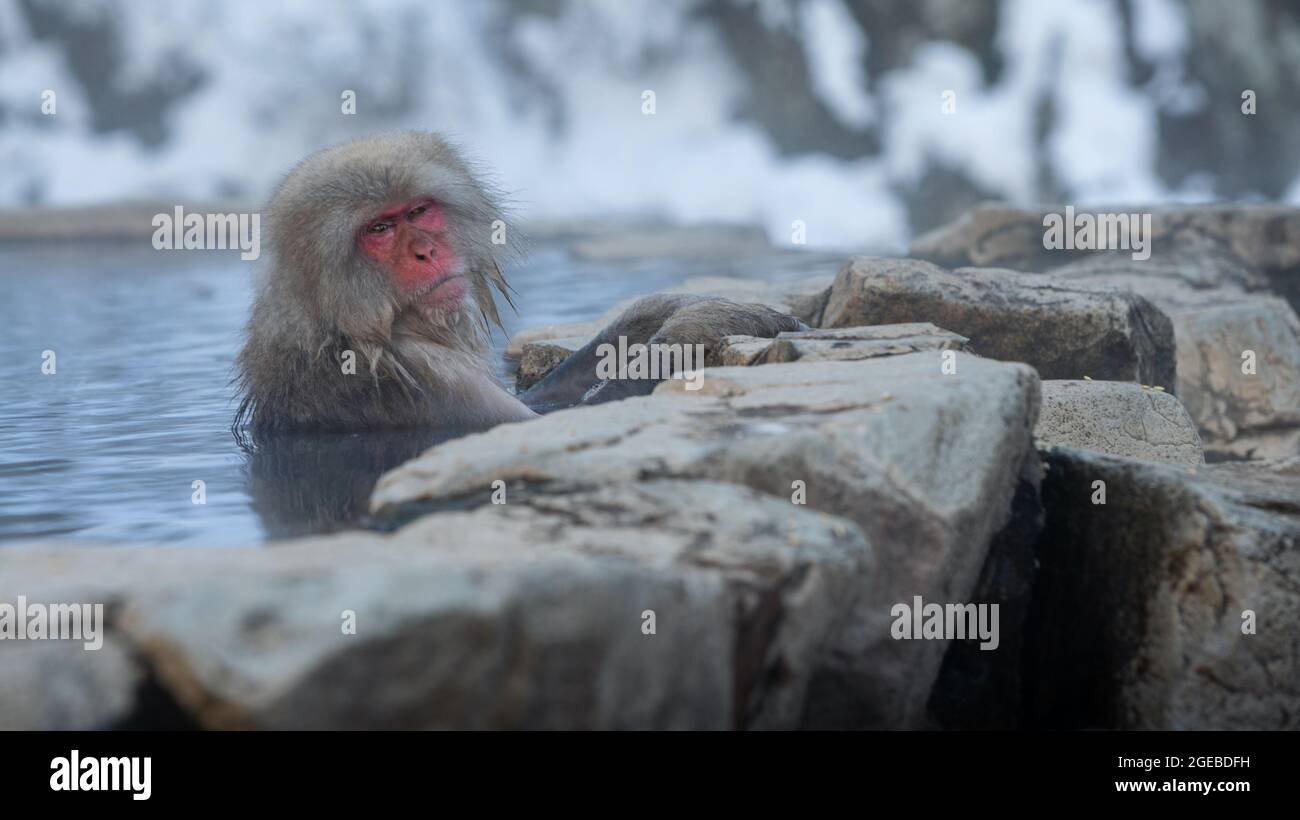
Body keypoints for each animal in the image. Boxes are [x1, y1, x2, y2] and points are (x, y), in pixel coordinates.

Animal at [235, 131, 804, 437]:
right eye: (379, 229)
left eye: (418, 211)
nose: (425, 252)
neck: (345, 331)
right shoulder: (426, 379)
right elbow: (545, 423)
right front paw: (698, 327)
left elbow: (550, 398)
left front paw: (669, 309)